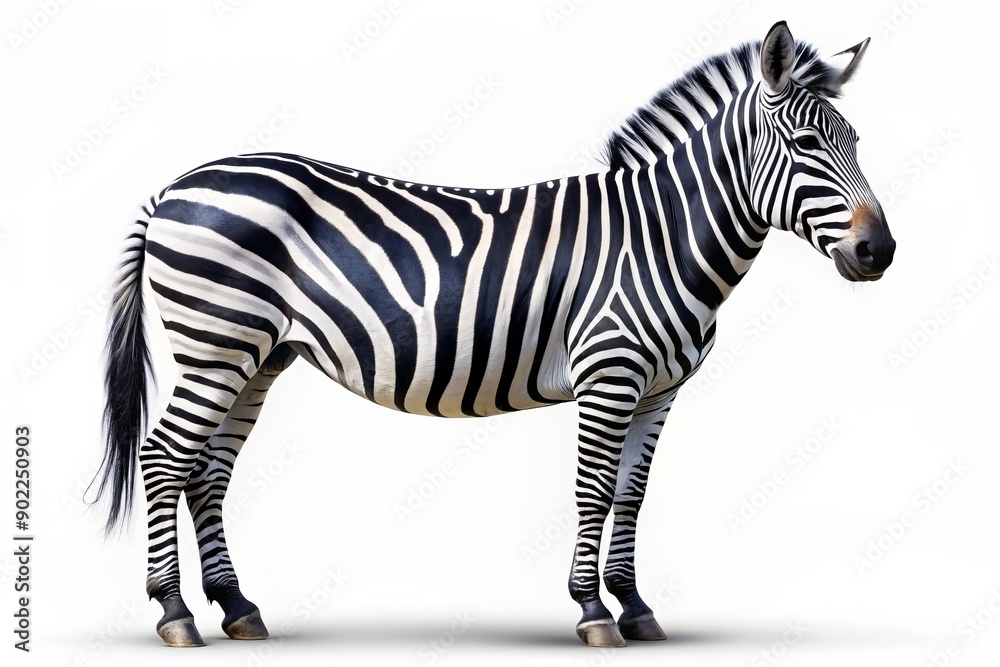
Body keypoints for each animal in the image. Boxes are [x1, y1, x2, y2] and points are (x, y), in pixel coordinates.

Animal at [94, 21, 895, 648]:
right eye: (805, 142)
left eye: (855, 141)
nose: (879, 251)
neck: (661, 237)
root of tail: (173, 185)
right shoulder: (609, 373)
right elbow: (593, 488)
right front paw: (592, 610)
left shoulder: (660, 390)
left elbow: (632, 495)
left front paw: (636, 607)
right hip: (215, 348)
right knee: (165, 460)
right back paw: (175, 613)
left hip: (257, 357)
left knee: (207, 472)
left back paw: (237, 608)